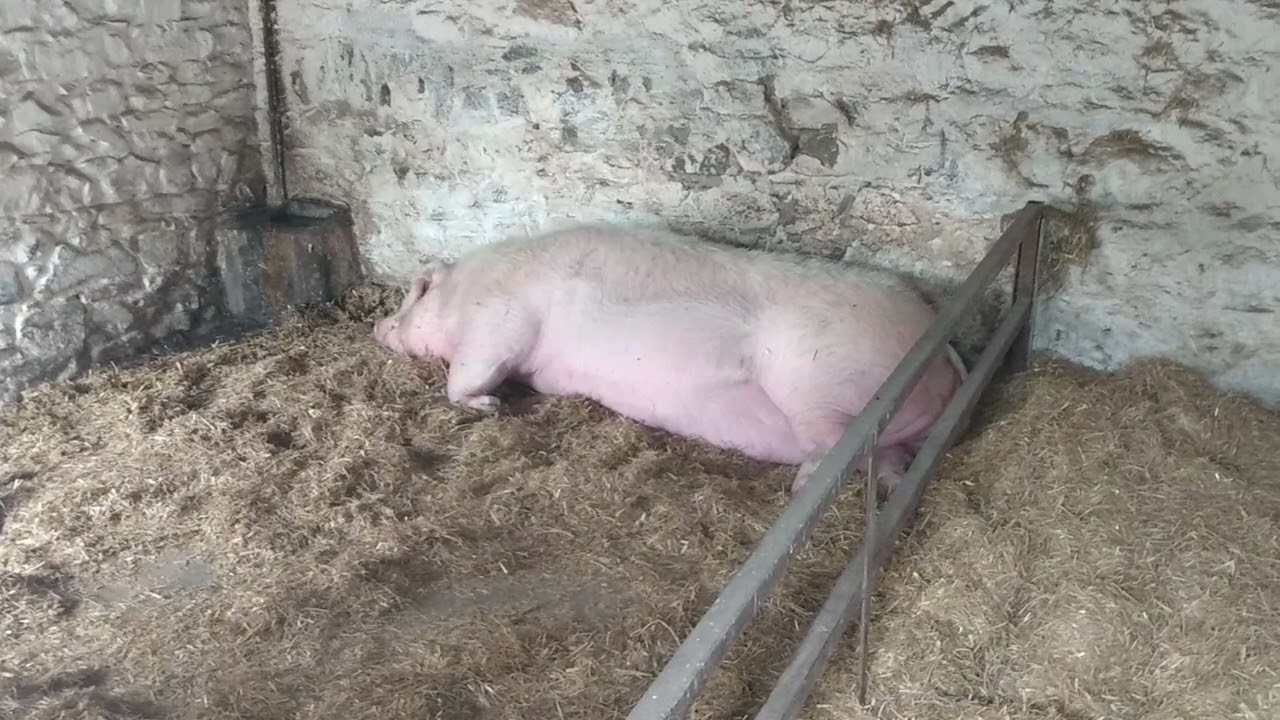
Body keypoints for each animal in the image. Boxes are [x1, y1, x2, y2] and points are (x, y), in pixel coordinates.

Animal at [372, 224, 967, 497]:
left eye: (414, 292)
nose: (378, 326)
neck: (465, 293)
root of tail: (938, 343)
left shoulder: (500, 321)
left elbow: (464, 378)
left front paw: (491, 407)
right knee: (885, 462)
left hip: (817, 382)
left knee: (832, 452)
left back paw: (799, 487)